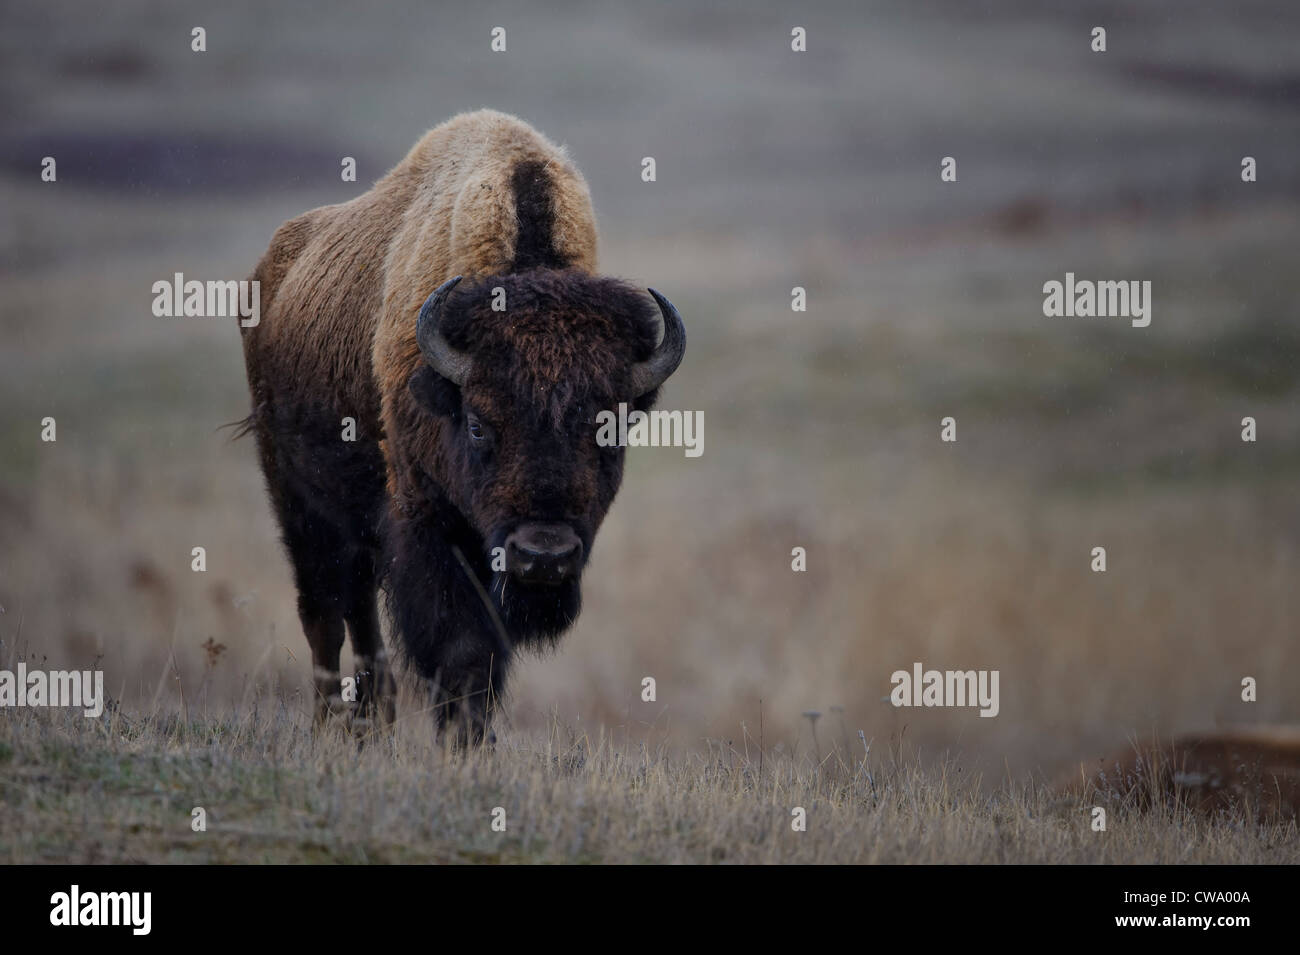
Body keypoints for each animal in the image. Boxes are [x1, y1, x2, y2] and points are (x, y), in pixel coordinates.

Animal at [238, 110, 685, 744]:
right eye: (477, 425)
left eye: (609, 428)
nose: (543, 556)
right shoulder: (427, 522)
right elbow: (462, 647)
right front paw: (461, 743)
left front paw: (473, 739)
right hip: (296, 498)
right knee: (323, 608)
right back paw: (332, 724)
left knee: (358, 609)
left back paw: (375, 719)